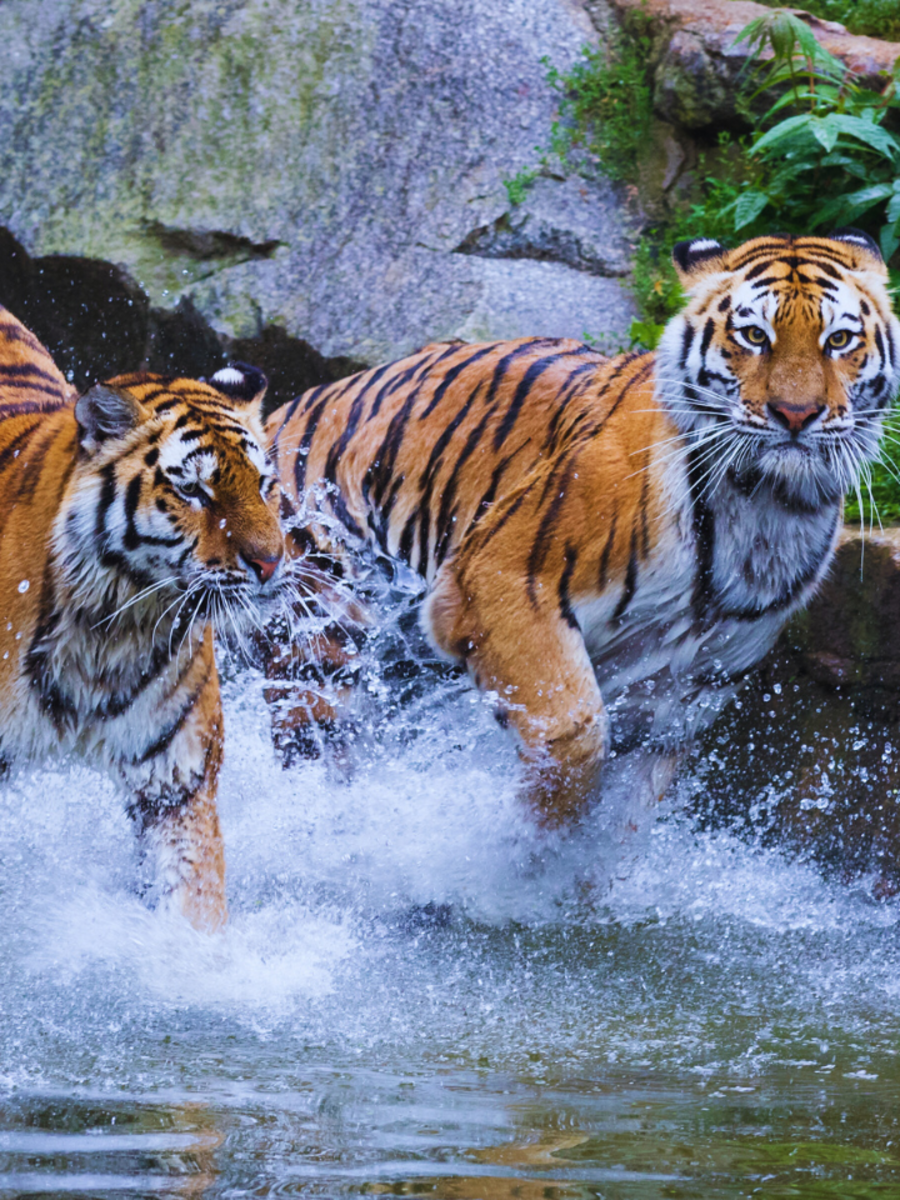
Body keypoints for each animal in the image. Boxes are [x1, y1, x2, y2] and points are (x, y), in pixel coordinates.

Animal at [264, 230, 900, 834]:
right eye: (753, 336)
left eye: (838, 341)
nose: (795, 415)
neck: (768, 507)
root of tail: (285, 411)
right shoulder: (498, 580)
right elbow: (574, 735)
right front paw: (520, 847)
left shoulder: (687, 695)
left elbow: (624, 829)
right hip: (320, 634)